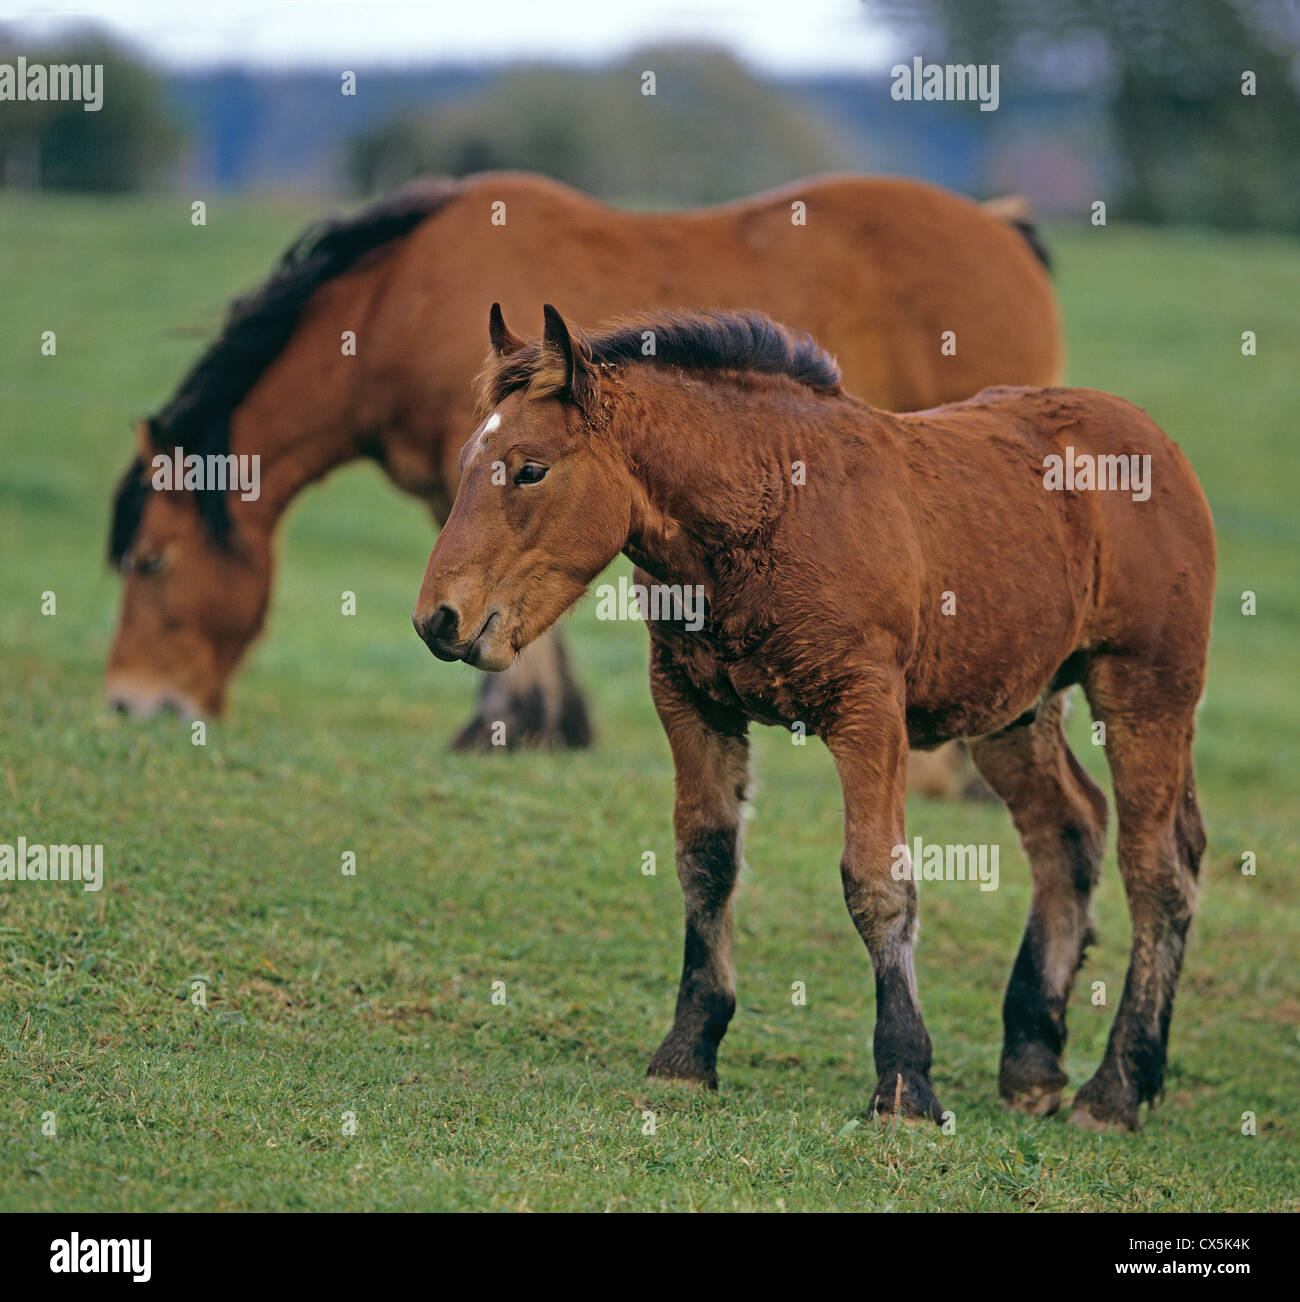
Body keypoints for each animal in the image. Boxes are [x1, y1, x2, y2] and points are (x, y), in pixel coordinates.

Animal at [107, 170, 1060, 771]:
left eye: (151, 562)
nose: (130, 704)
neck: (390, 306)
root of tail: (1004, 227)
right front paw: (548, 728)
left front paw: (512, 730)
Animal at [413, 304, 1215, 1131]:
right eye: (470, 460)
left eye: (530, 468)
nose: (439, 620)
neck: (772, 505)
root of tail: (1156, 443)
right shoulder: (690, 700)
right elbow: (707, 862)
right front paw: (687, 1053)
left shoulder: (868, 710)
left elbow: (877, 883)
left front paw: (905, 1083)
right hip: (1012, 708)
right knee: (1068, 831)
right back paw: (1033, 1060)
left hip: (1145, 689)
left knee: (1158, 869)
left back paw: (1117, 1088)